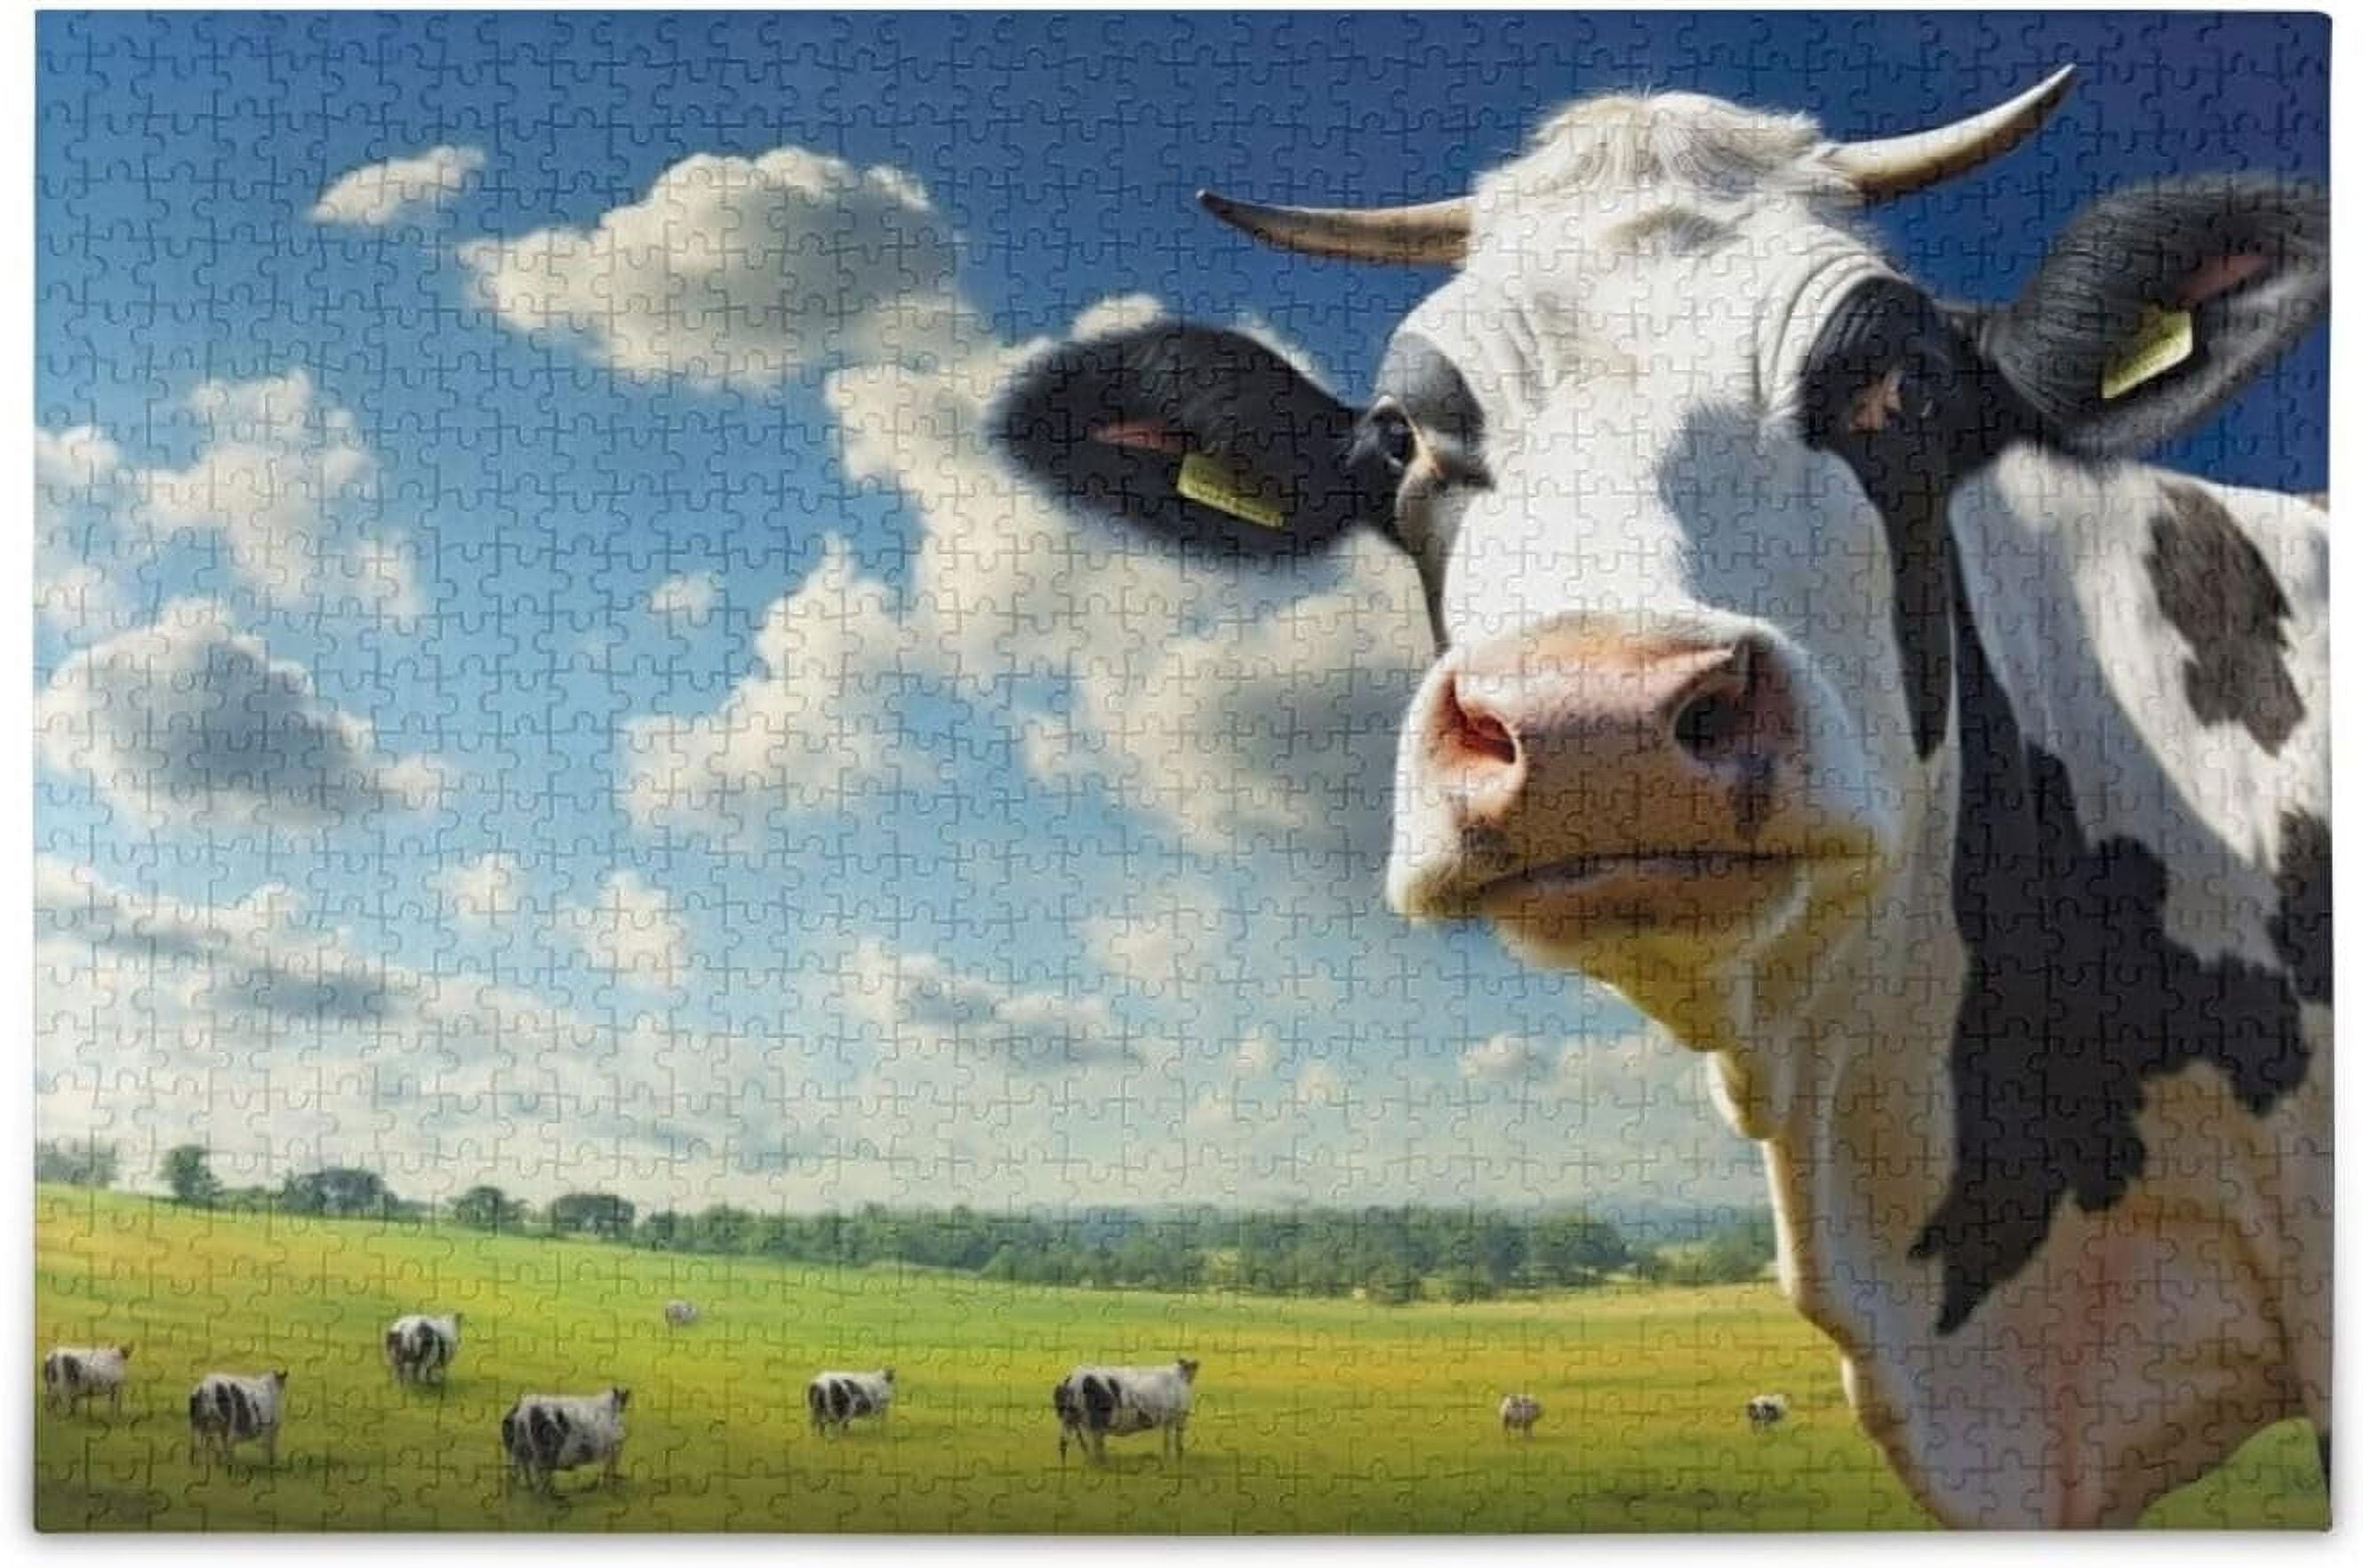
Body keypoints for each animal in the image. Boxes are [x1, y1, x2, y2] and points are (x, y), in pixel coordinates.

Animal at [501, 1387, 630, 1496]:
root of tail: (523, 1411)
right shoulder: (613, 1449)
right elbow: (608, 1468)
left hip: (521, 1451)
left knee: (523, 1470)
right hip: (541, 1452)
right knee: (536, 1471)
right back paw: (543, 1491)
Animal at [1053, 1360, 1199, 1465]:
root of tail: (1074, 1381)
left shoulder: (1172, 1417)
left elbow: (1168, 1440)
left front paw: (1170, 1458)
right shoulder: (1178, 1416)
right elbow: (1174, 1440)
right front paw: (1175, 1458)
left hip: (1069, 1418)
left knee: (1066, 1442)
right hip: (1089, 1421)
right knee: (1090, 1443)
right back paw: (1099, 1463)